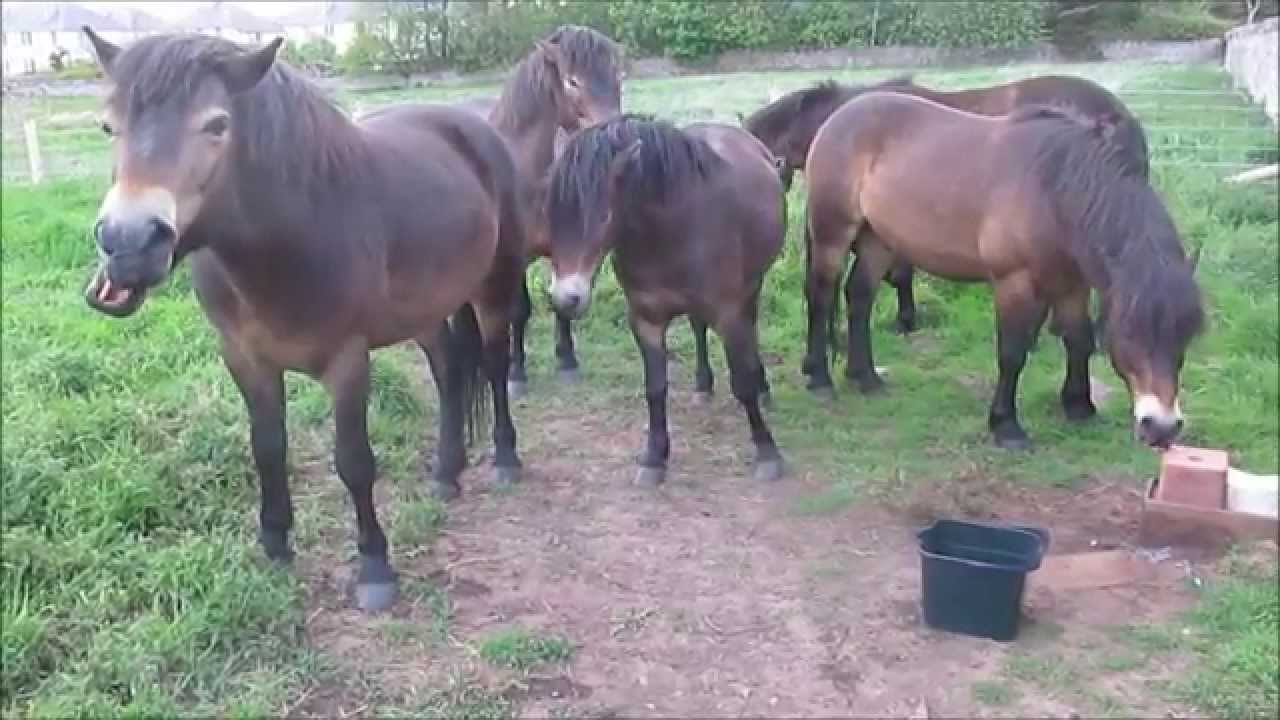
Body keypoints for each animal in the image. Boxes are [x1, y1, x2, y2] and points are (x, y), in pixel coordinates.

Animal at [80, 28, 528, 612]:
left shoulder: (348, 360)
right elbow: (267, 448)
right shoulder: (244, 358)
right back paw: (445, 472)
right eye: (108, 126)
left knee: (495, 366)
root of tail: (475, 127)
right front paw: (274, 542)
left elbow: (353, 460)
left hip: (494, 285)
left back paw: (505, 459)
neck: (293, 237)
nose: (128, 246)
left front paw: (374, 565)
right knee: (450, 371)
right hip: (427, 308)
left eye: (217, 124)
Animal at [455, 26, 623, 398]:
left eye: (619, 76)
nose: (614, 132)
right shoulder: (515, 257)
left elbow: (563, 303)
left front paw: (567, 361)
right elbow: (520, 310)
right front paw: (516, 372)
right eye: (572, 81)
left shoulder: (566, 247)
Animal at [544, 114, 787, 486]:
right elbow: (655, 388)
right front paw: (654, 457)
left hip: (752, 285)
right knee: (699, 326)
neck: (671, 229)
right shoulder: (645, 319)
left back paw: (762, 386)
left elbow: (742, 381)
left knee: (751, 327)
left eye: (603, 217)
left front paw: (767, 453)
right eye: (552, 215)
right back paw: (703, 386)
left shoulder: (728, 313)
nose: (565, 298)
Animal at [802, 92, 1202, 450]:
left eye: (1185, 335)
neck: (1053, 189)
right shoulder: (1015, 283)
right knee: (821, 295)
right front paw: (1006, 426)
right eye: (1130, 334)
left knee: (859, 297)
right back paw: (819, 379)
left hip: (877, 240)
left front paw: (1079, 406)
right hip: (833, 233)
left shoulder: (1071, 284)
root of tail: (839, 116)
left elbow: (1079, 339)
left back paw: (865, 377)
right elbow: (1012, 353)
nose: (1162, 428)